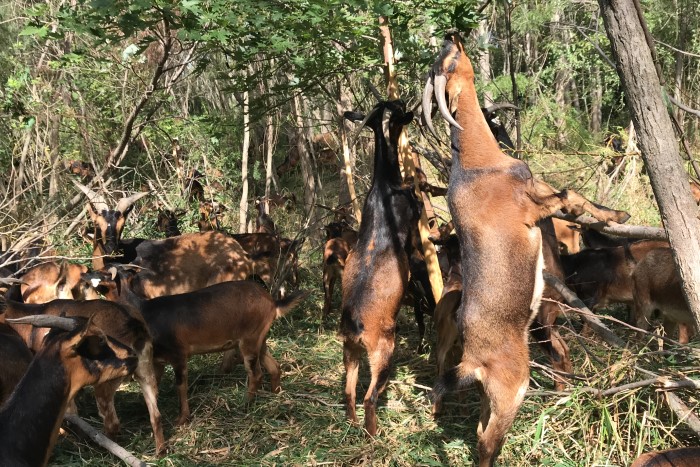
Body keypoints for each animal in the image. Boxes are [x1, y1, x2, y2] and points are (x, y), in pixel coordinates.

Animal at [83, 268, 307, 425]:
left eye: (103, 273)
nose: (85, 273)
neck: (143, 311)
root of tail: (272, 302)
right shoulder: (157, 360)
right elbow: (155, 385)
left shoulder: (179, 355)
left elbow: (180, 386)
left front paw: (182, 419)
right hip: (260, 338)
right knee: (273, 366)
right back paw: (276, 395)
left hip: (249, 340)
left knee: (256, 373)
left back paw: (245, 405)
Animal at [423, 34, 630, 466]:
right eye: (447, 65)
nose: (451, 37)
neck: (477, 163)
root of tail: (473, 362)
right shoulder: (531, 208)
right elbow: (571, 195)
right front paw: (609, 214)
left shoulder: (535, 193)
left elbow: (572, 195)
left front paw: (616, 212)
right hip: (512, 387)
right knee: (488, 441)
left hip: (490, 395)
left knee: (482, 431)